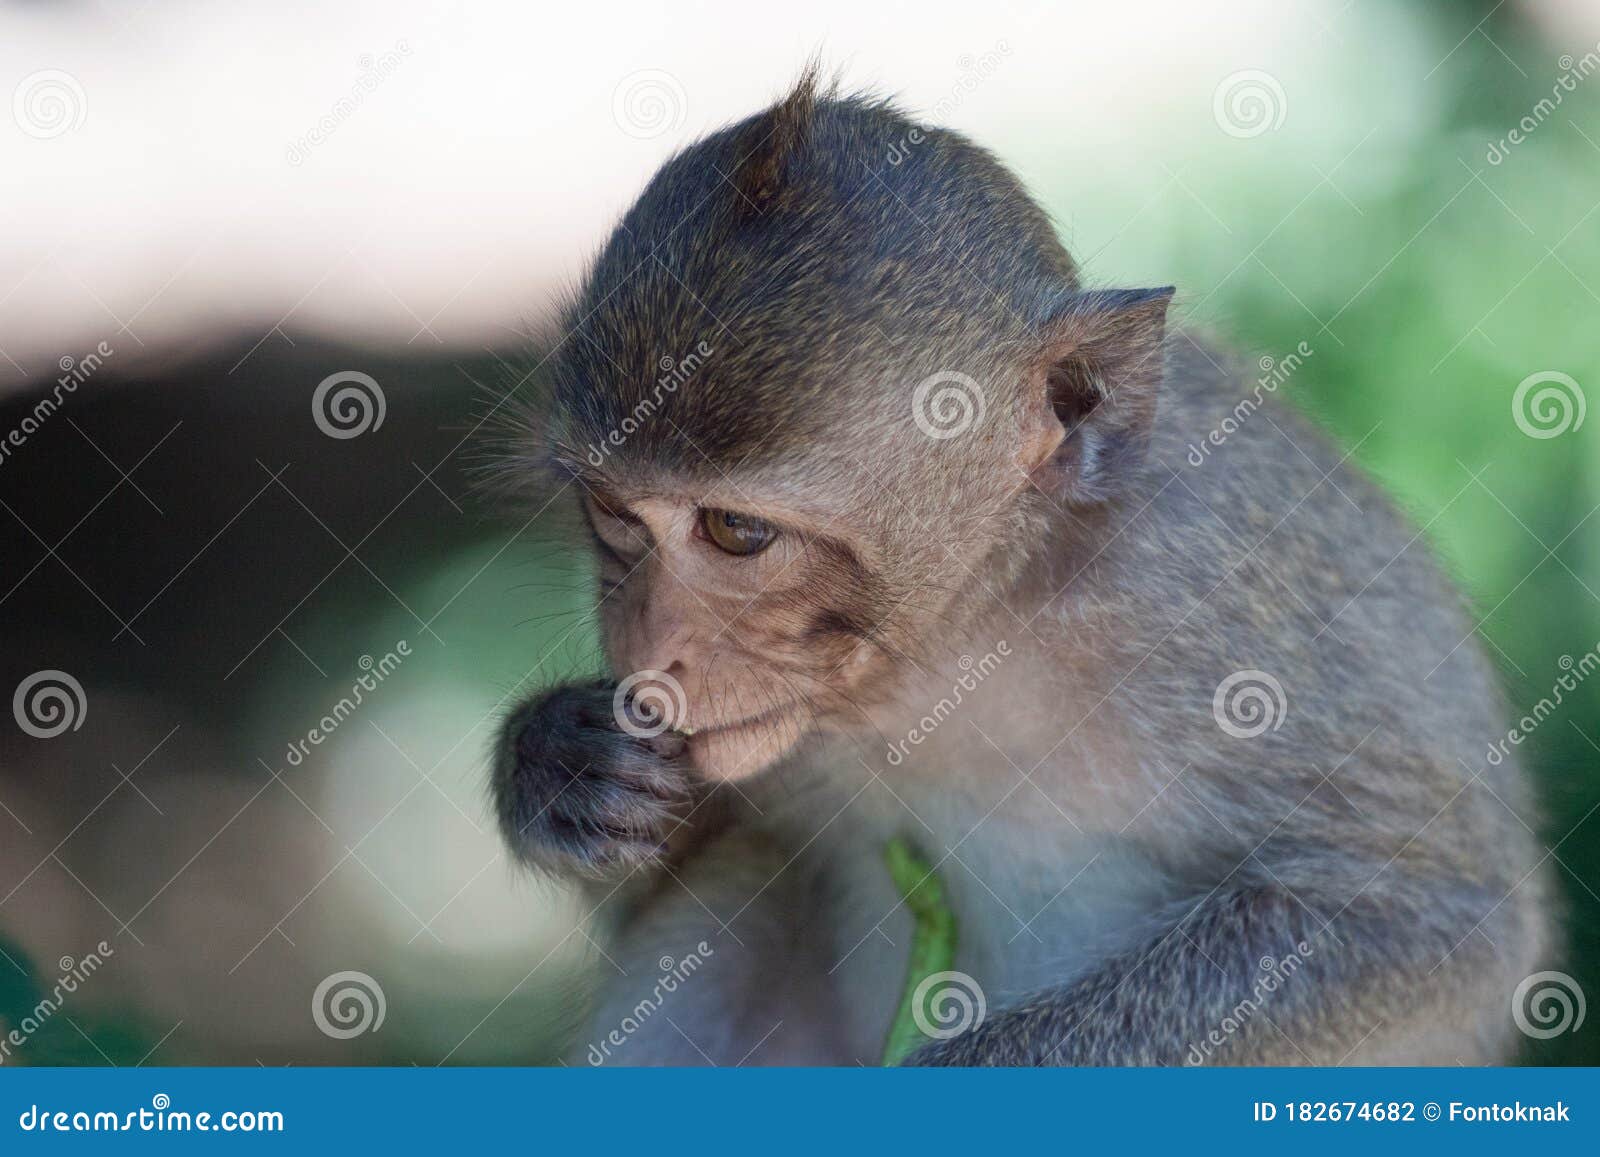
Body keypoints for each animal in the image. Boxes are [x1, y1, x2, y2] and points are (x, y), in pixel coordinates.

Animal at [487, 70, 1553, 1066]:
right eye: (613, 511)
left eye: (736, 531)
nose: (644, 646)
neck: (973, 629)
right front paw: (557, 762)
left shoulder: (1219, 608)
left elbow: (1435, 918)